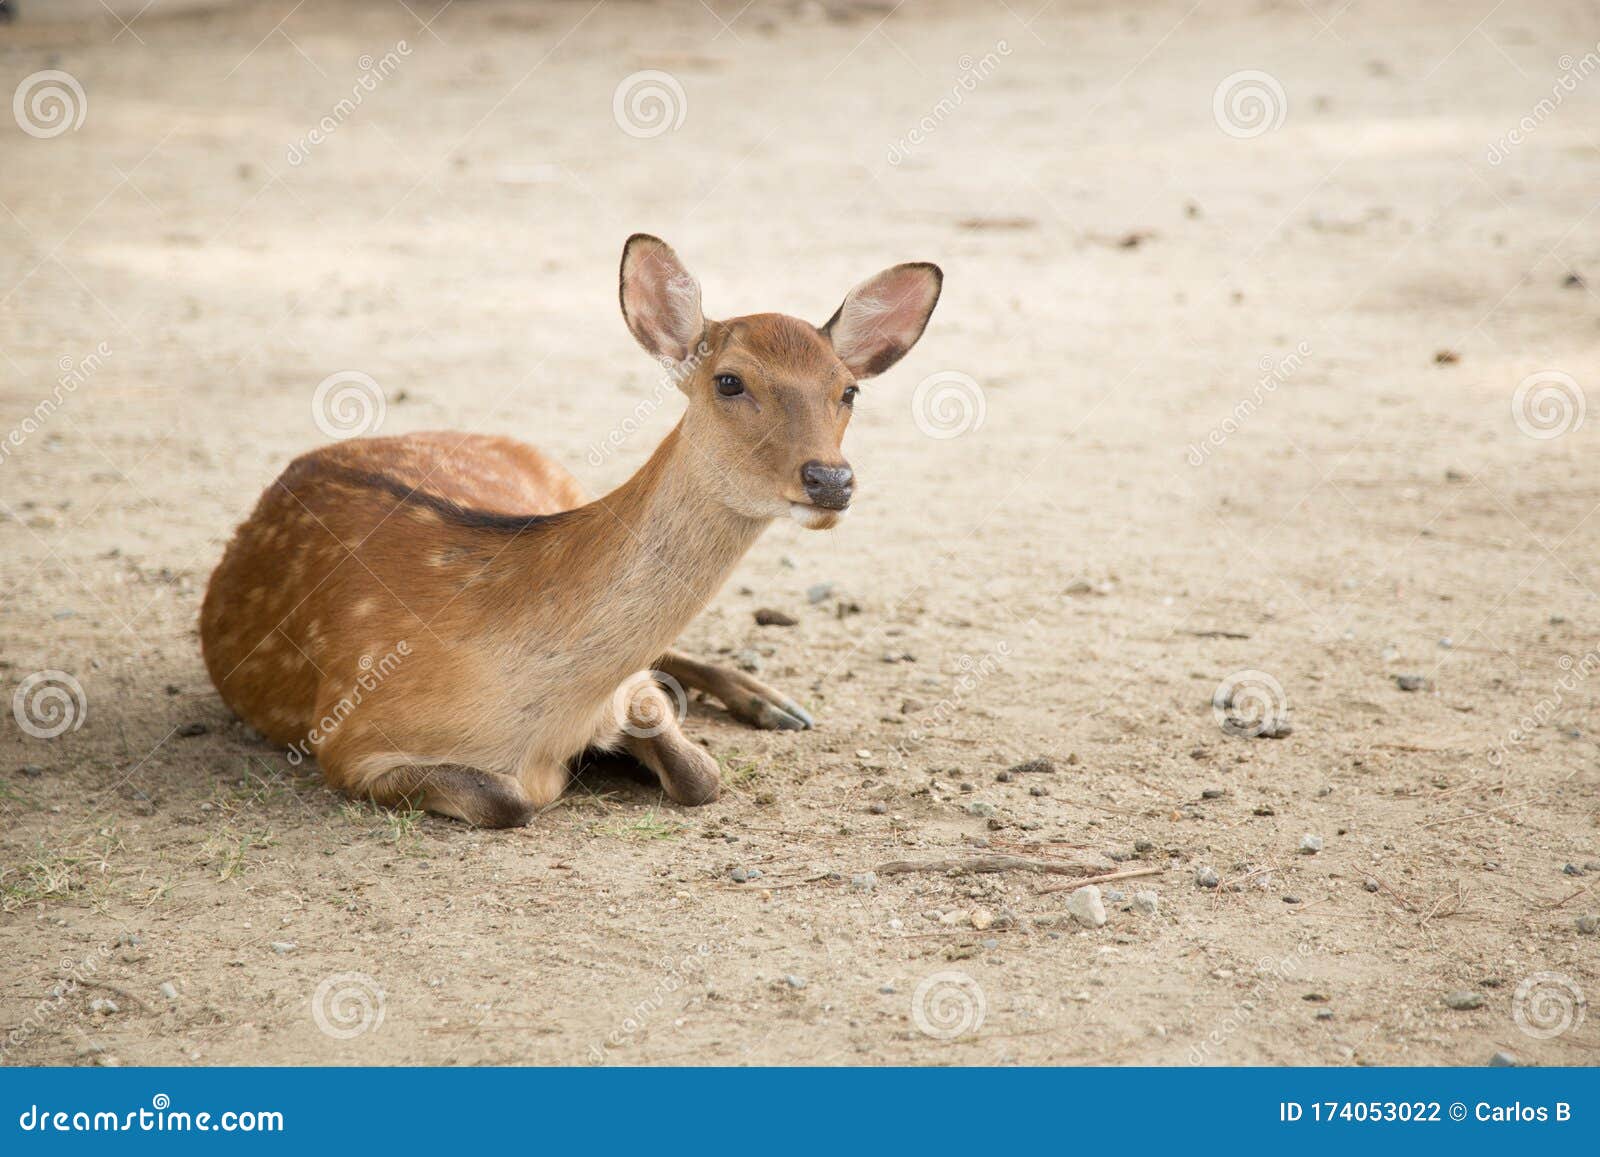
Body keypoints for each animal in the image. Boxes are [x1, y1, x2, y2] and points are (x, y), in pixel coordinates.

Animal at [199, 235, 942, 827]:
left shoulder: (631, 689)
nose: (830, 480)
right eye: (730, 381)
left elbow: (701, 774)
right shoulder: (346, 738)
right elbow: (510, 799)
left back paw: (774, 702)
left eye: (848, 390)